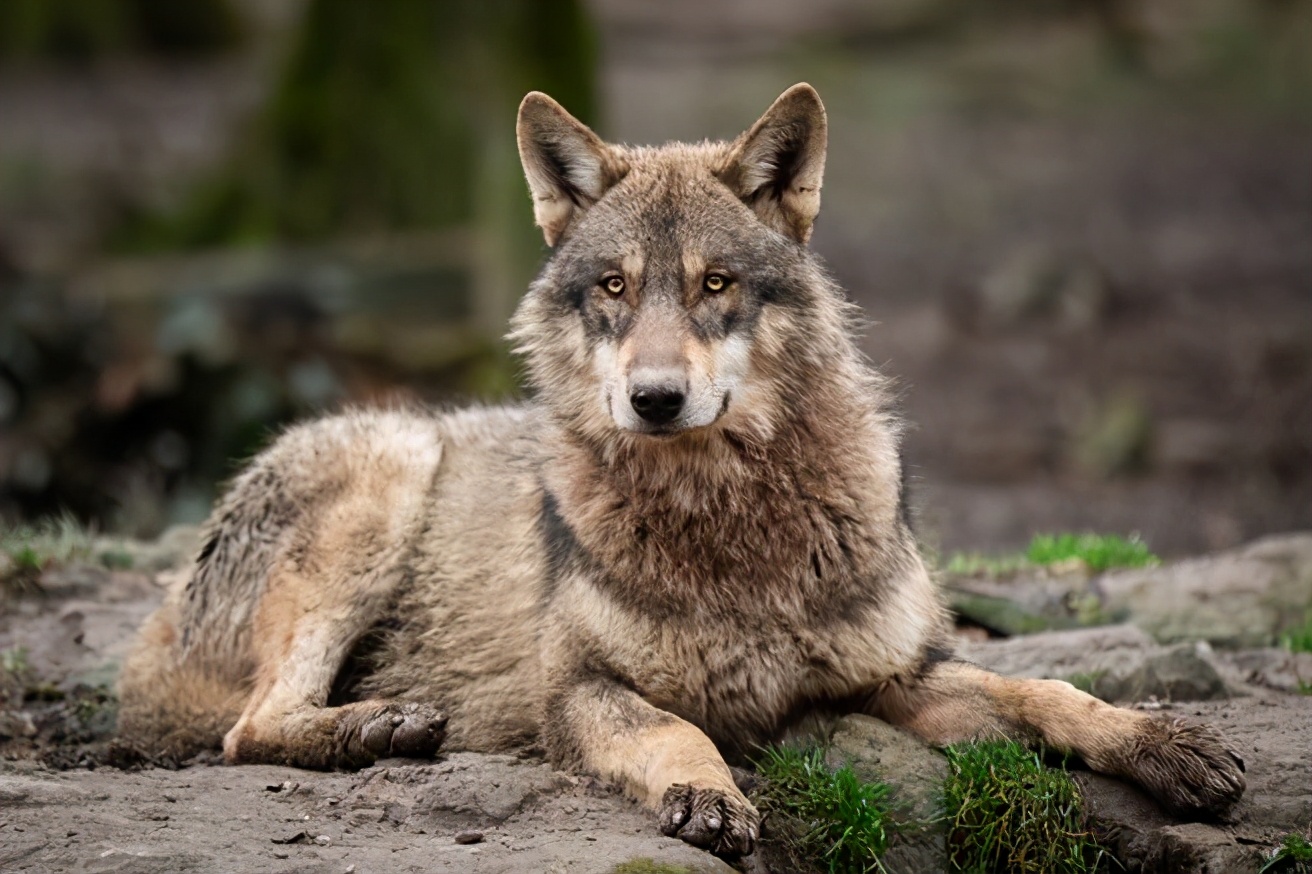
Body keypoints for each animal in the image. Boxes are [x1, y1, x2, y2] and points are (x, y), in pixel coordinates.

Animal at [117, 84, 1244, 858]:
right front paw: (709, 795)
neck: (731, 525)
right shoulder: (578, 691)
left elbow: (1048, 689)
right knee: (246, 732)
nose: (654, 399)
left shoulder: (899, 675)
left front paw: (1166, 743)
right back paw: (379, 727)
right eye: (614, 287)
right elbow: (673, 731)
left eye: (715, 284)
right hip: (388, 469)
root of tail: (151, 642)